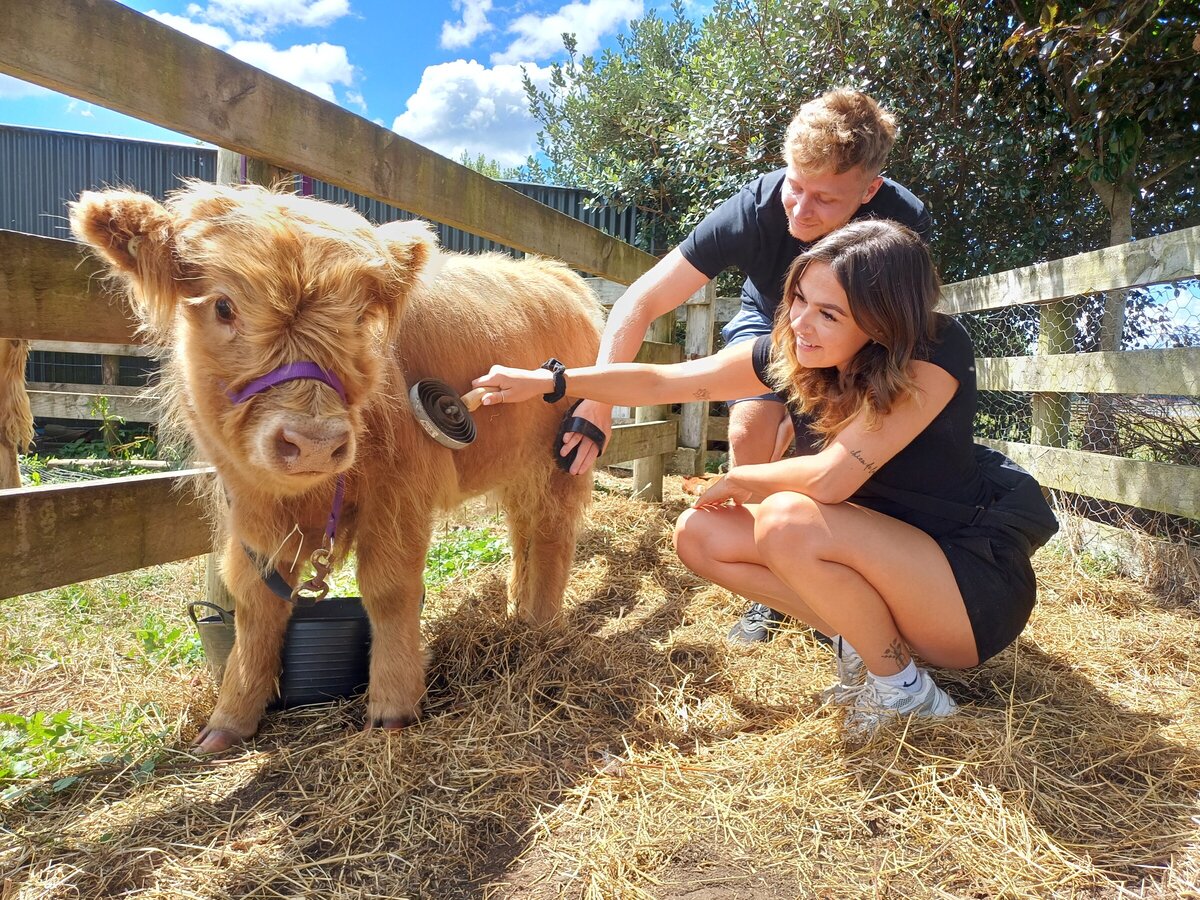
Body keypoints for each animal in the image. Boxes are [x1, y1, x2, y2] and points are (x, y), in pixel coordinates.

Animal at [70, 182, 601, 753]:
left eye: (358, 317)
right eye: (223, 305)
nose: (314, 443)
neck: (302, 497)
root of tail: (560, 274)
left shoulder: (399, 496)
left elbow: (389, 591)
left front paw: (392, 708)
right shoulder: (249, 512)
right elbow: (255, 604)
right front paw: (229, 719)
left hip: (562, 460)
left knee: (552, 533)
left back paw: (540, 628)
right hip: (518, 468)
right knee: (524, 530)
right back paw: (519, 612)